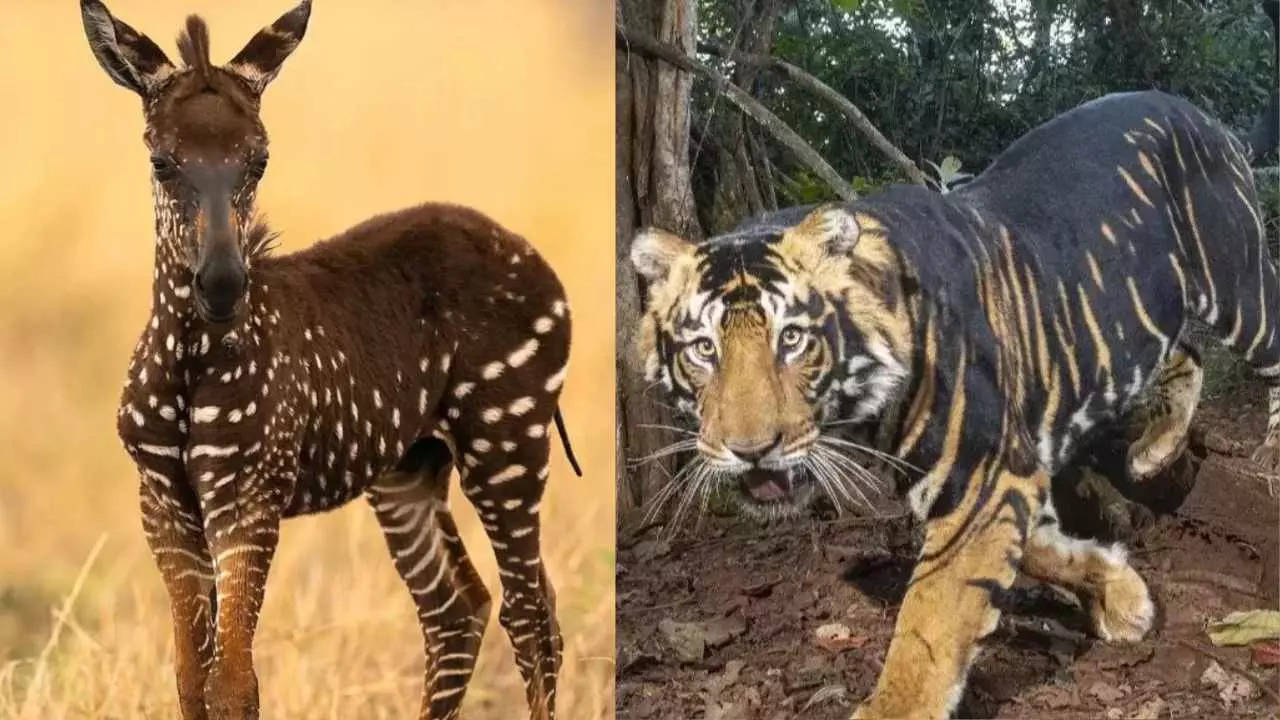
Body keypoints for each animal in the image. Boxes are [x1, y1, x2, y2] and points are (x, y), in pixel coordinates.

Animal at [628, 90, 1279, 719]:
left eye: (792, 339)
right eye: (704, 349)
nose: (751, 450)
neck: (867, 416)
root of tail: (1204, 116)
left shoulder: (982, 479)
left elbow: (929, 625)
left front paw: (893, 706)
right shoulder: (1001, 477)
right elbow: (1040, 550)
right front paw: (1123, 595)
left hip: (1241, 286)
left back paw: (1268, 454)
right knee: (1186, 350)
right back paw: (1154, 449)